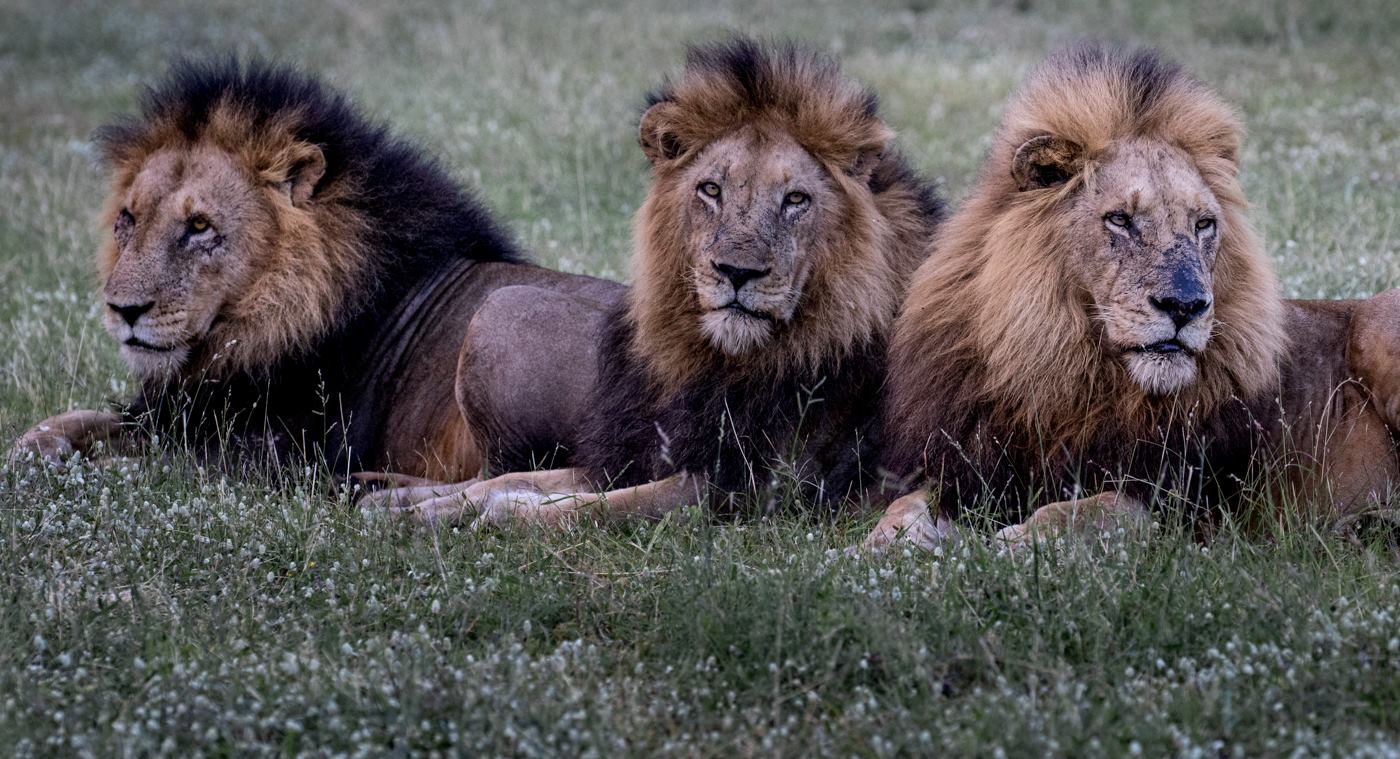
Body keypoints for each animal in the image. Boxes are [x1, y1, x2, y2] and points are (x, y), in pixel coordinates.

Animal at [11, 58, 621, 480]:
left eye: (200, 226)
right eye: (128, 219)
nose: (124, 310)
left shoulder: (271, 453)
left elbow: (143, 466)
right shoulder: (175, 410)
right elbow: (72, 418)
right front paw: (28, 452)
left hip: (502, 311)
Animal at [377, 38, 944, 526]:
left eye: (796, 200)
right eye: (711, 190)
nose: (737, 272)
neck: (719, 366)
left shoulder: (749, 491)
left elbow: (591, 508)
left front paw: (496, 516)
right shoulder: (642, 452)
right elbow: (510, 480)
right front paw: (406, 507)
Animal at [859, 42, 1400, 553]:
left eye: (1203, 224)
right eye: (1120, 219)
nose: (1185, 307)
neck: (1067, 366)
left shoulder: (1181, 505)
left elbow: (1090, 509)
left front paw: (1018, 542)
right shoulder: (969, 465)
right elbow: (907, 505)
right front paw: (879, 548)